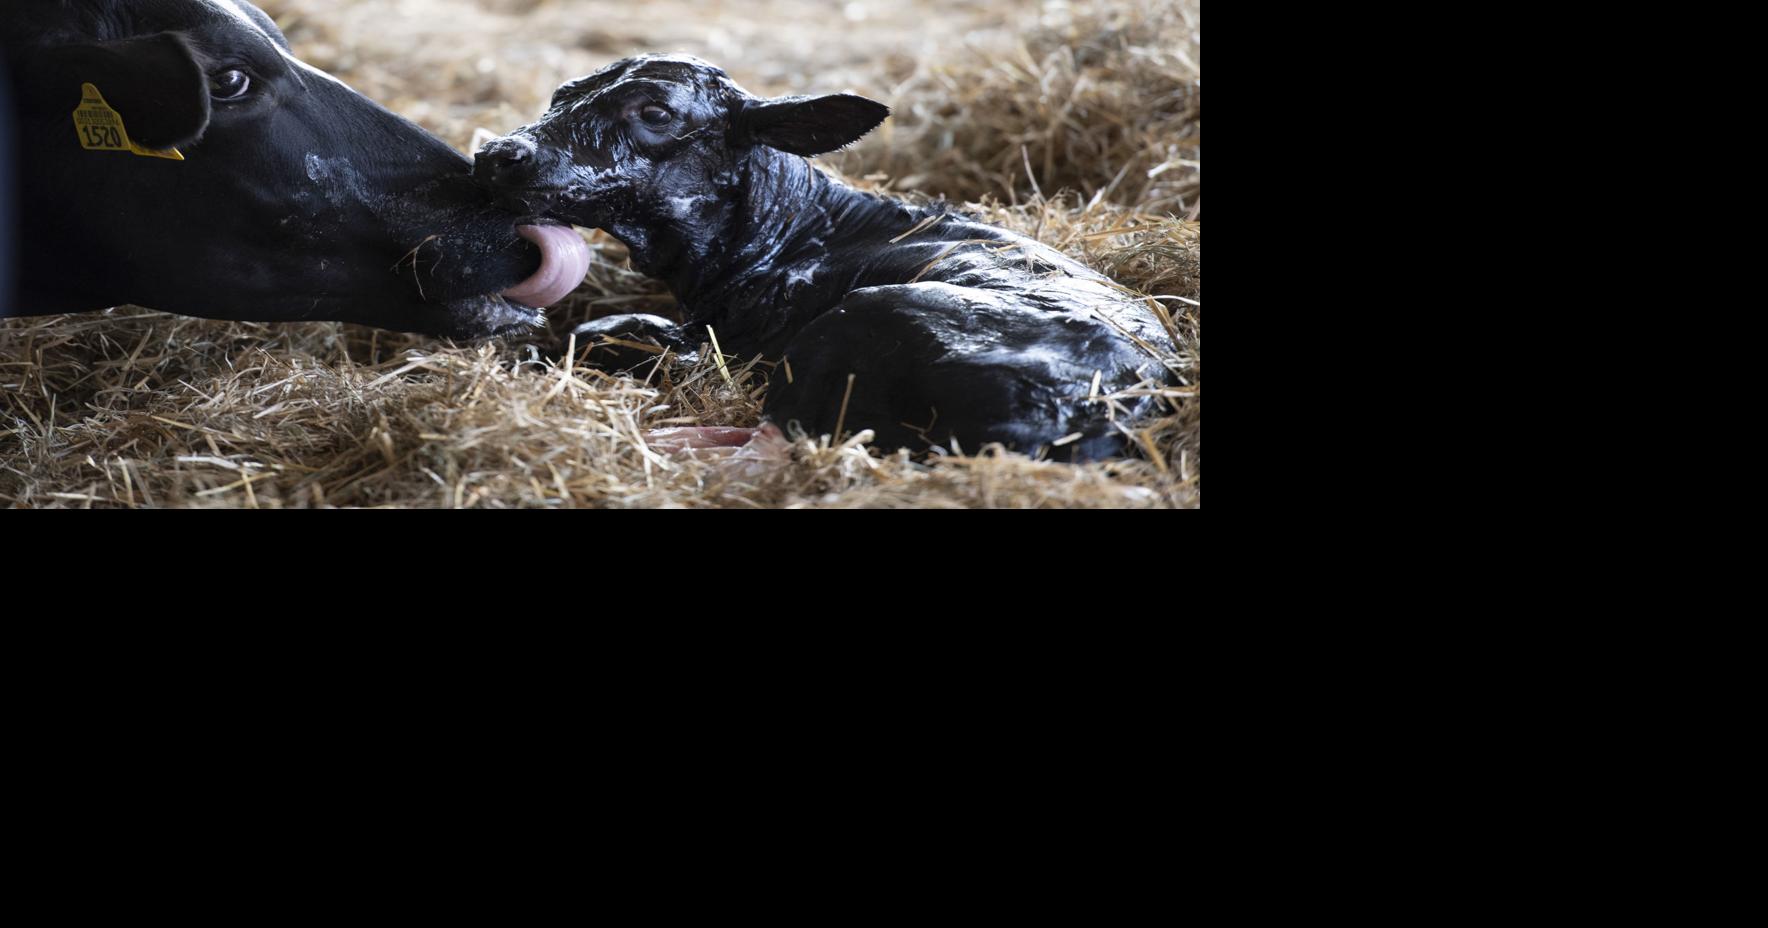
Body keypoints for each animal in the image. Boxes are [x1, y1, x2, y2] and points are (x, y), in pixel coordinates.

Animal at [474, 55, 1175, 460]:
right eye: (561, 94)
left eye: (655, 112)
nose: (498, 154)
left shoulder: (726, 343)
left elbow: (606, 330)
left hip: (852, 325)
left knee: (778, 439)